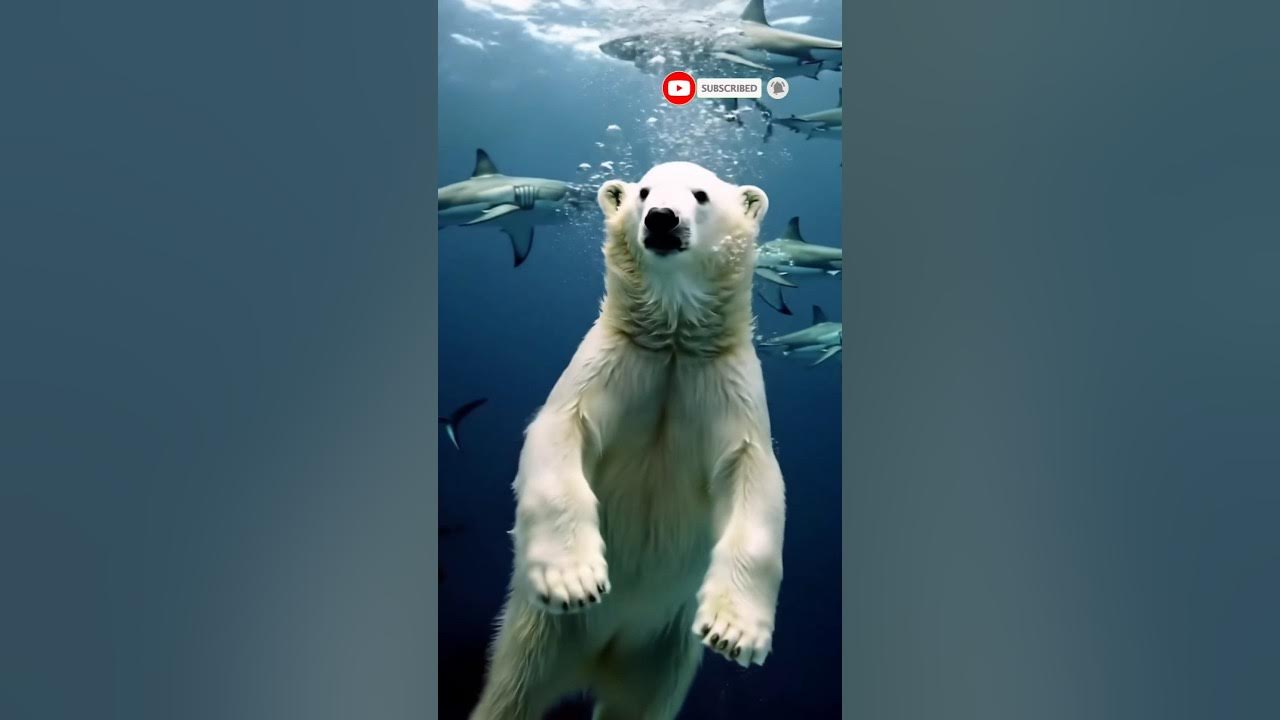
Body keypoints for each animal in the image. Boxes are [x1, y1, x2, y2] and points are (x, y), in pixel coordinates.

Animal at [469, 162, 787, 720]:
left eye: (700, 194)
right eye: (642, 192)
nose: (661, 218)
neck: (674, 342)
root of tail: (599, 655)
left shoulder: (726, 389)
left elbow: (755, 478)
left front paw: (734, 632)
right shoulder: (612, 365)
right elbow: (558, 432)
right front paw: (574, 578)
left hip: (663, 650)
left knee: (638, 704)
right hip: (540, 630)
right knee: (511, 694)